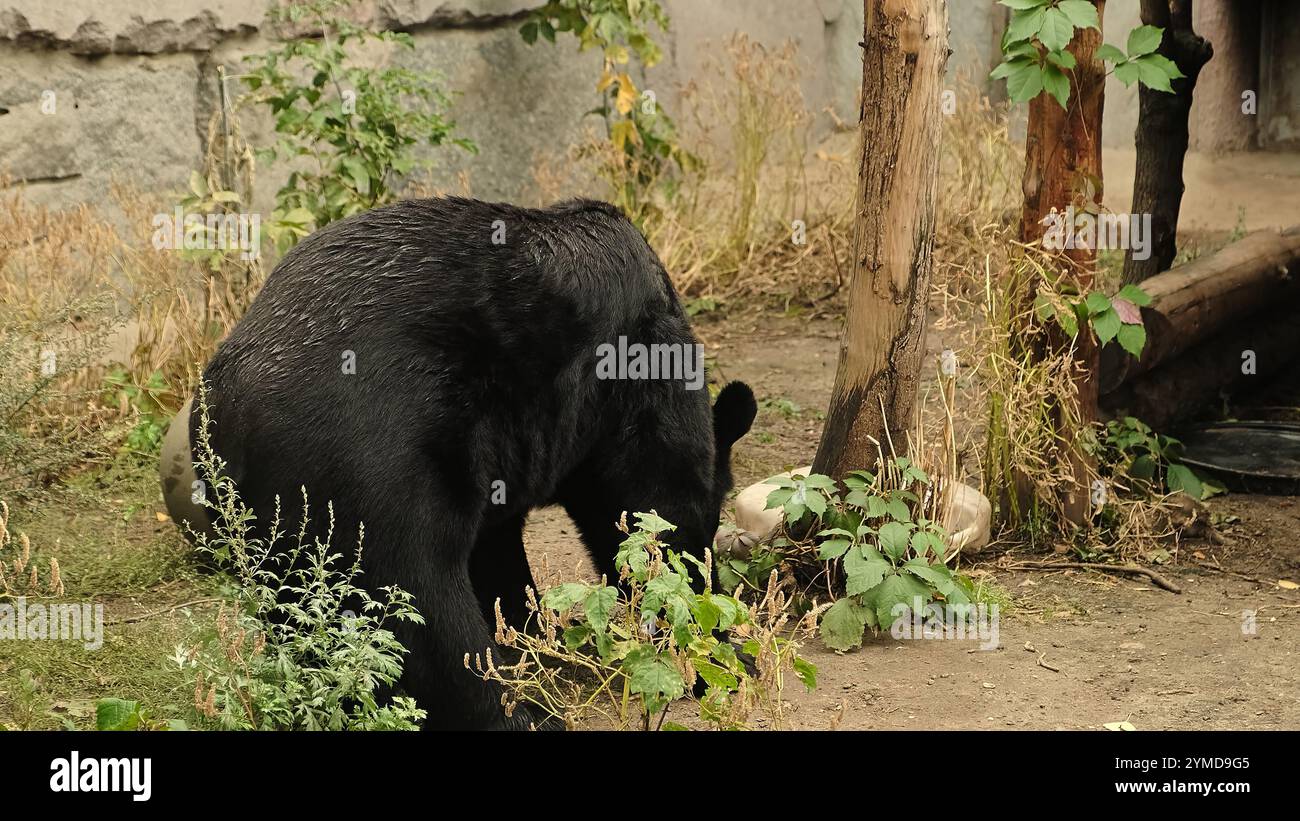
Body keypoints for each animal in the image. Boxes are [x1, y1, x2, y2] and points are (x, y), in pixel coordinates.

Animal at [192, 196, 757, 730]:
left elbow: (499, 550)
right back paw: (524, 715)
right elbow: (654, 508)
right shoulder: (626, 383)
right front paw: (715, 650)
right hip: (367, 459)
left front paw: (536, 634)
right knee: (423, 606)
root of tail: (225, 411)